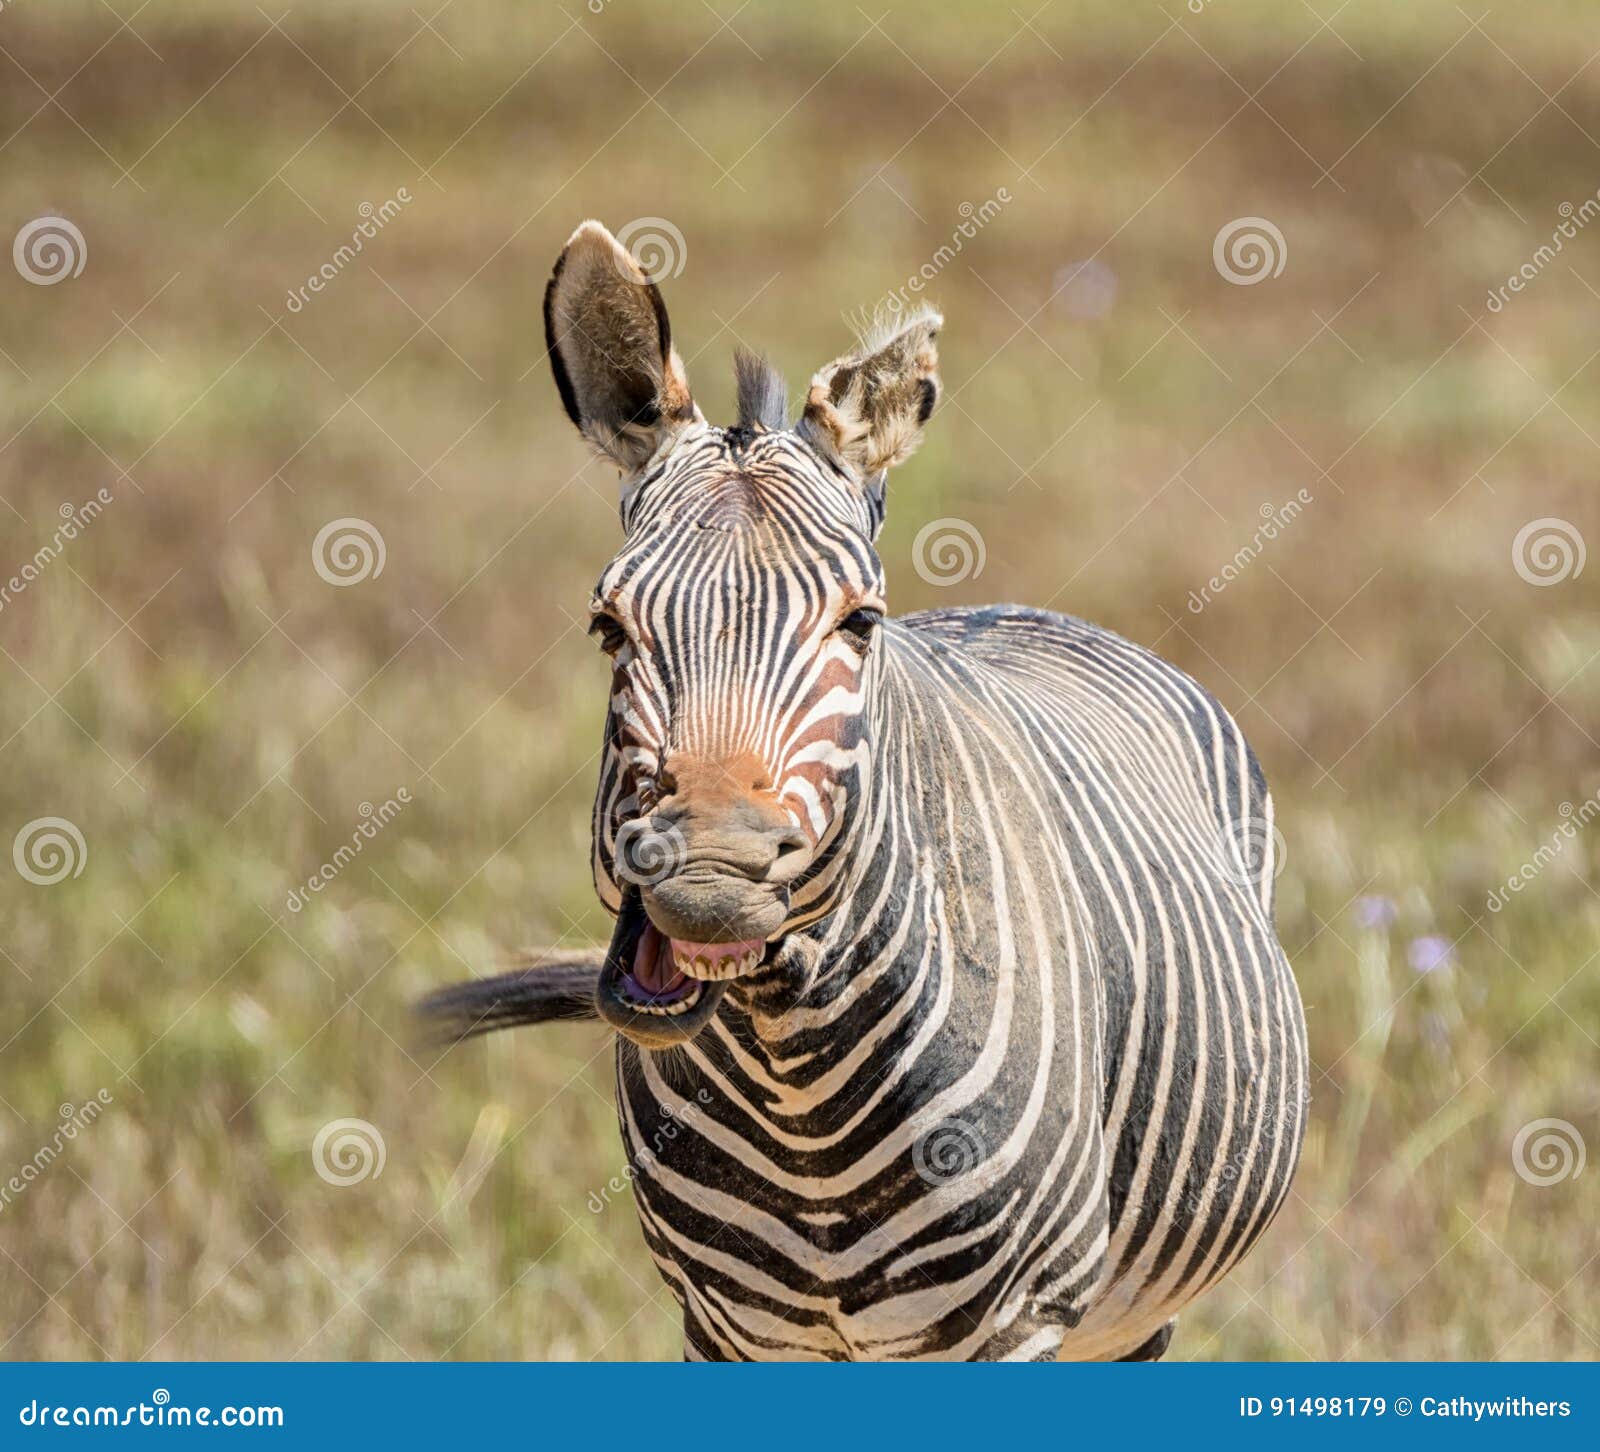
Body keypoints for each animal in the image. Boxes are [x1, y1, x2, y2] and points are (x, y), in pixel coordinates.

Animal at [422, 220, 1309, 1362]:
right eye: (607, 627)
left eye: (859, 623)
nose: (711, 881)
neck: (795, 1078)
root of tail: (1020, 610)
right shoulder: (722, 1330)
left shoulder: (1023, 1322)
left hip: (1133, 1316)